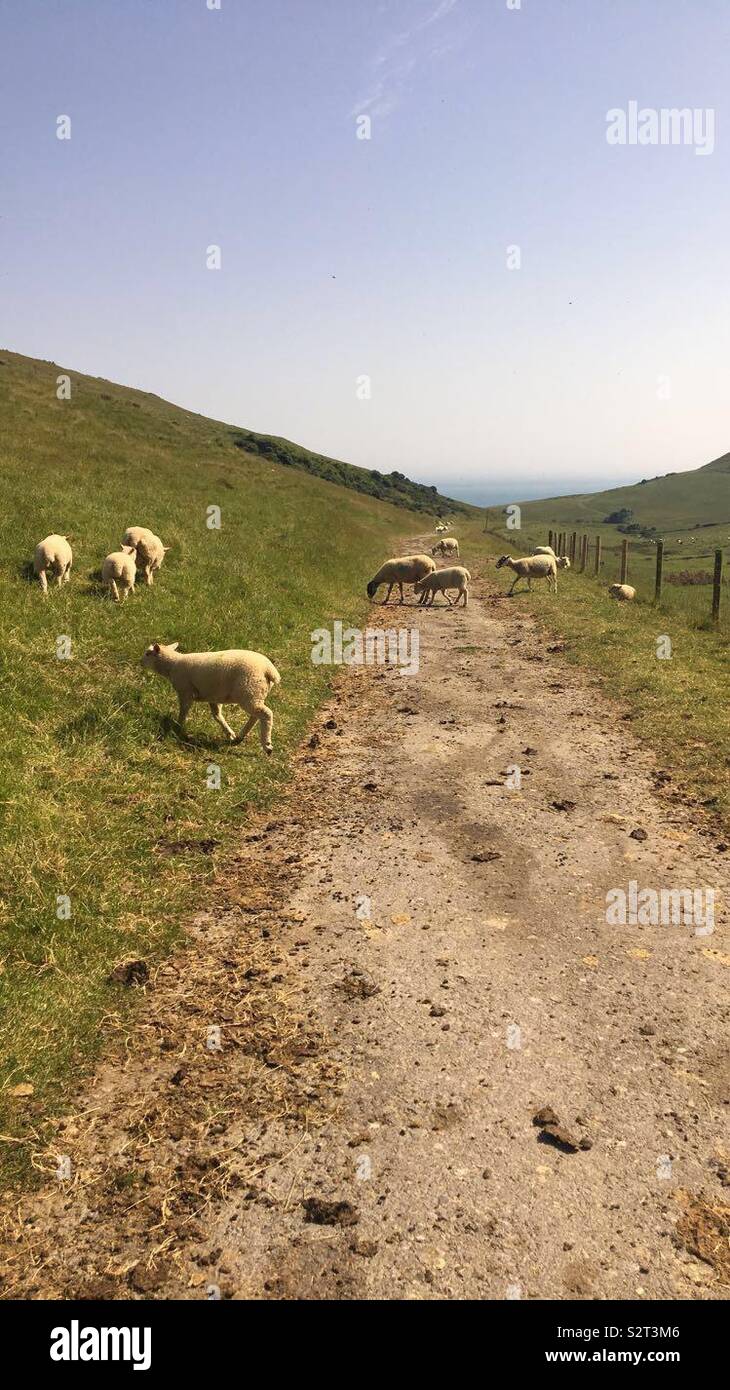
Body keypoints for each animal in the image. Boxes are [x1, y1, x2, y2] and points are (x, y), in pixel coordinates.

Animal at [142, 643, 281, 753]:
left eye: (148, 653)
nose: (140, 661)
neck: (172, 665)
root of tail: (269, 670)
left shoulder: (185, 692)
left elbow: (183, 711)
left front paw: (178, 727)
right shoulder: (213, 697)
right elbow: (217, 715)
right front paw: (229, 733)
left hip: (249, 691)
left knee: (266, 714)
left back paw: (267, 745)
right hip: (254, 695)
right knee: (255, 716)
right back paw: (240, 737)